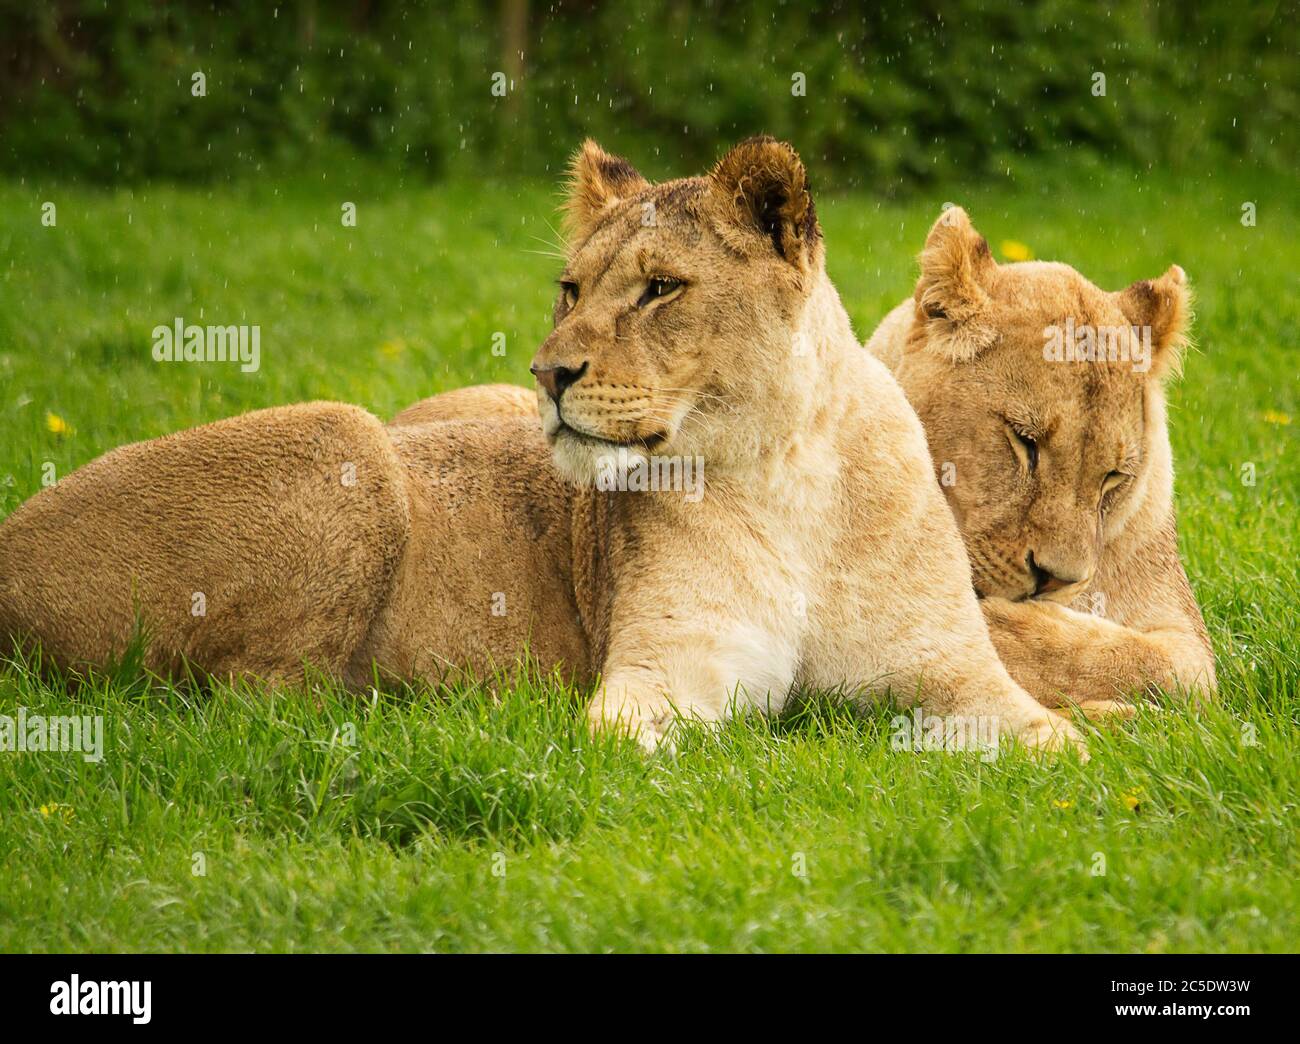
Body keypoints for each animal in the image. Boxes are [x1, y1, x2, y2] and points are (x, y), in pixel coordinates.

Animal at [0, 139, 1083, 755]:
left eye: (658, 289)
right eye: (572, 289)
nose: (547, 374)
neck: (790, 471)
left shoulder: (950, 669)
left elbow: (1056, 745)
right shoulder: (669, 668)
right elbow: (630, 741)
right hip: (348, 435)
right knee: (245, 707)